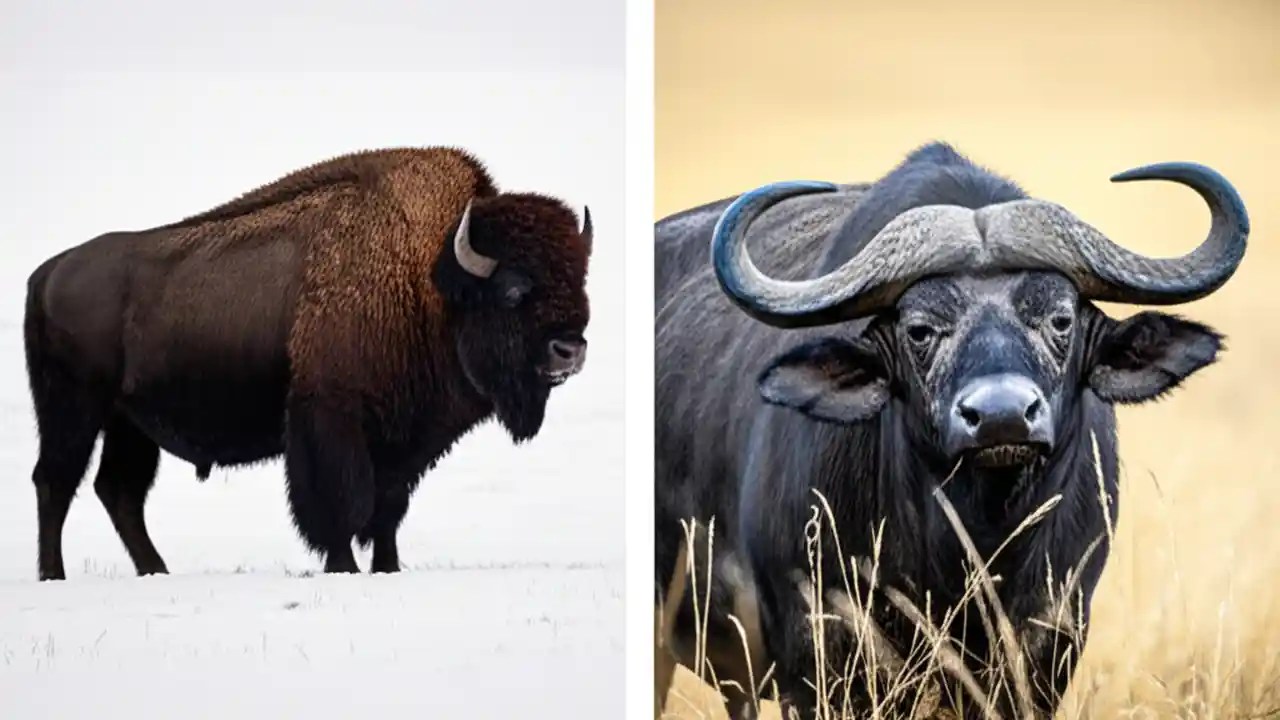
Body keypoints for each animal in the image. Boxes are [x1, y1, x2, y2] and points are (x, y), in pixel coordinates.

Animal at [25, 147, 592, 580]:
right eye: (514, 289)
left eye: (580, 280)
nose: (570, 351)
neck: (429, 276)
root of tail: (47, 272)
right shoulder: (330, 418)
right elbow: (344, 503)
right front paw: (343, 566)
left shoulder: (404, 441)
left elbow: (387, 510)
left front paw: (388, 567)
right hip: (73, 409)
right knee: (55, 482)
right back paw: (54, 575)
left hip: (129, 423)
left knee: (118, 491)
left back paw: (156, 571)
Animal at [654, 143, 1247, 718]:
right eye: (920, 330)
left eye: (1061, 319)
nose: (1003, 416)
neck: (975, 539)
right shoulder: (815, 656)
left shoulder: (1047, 644)